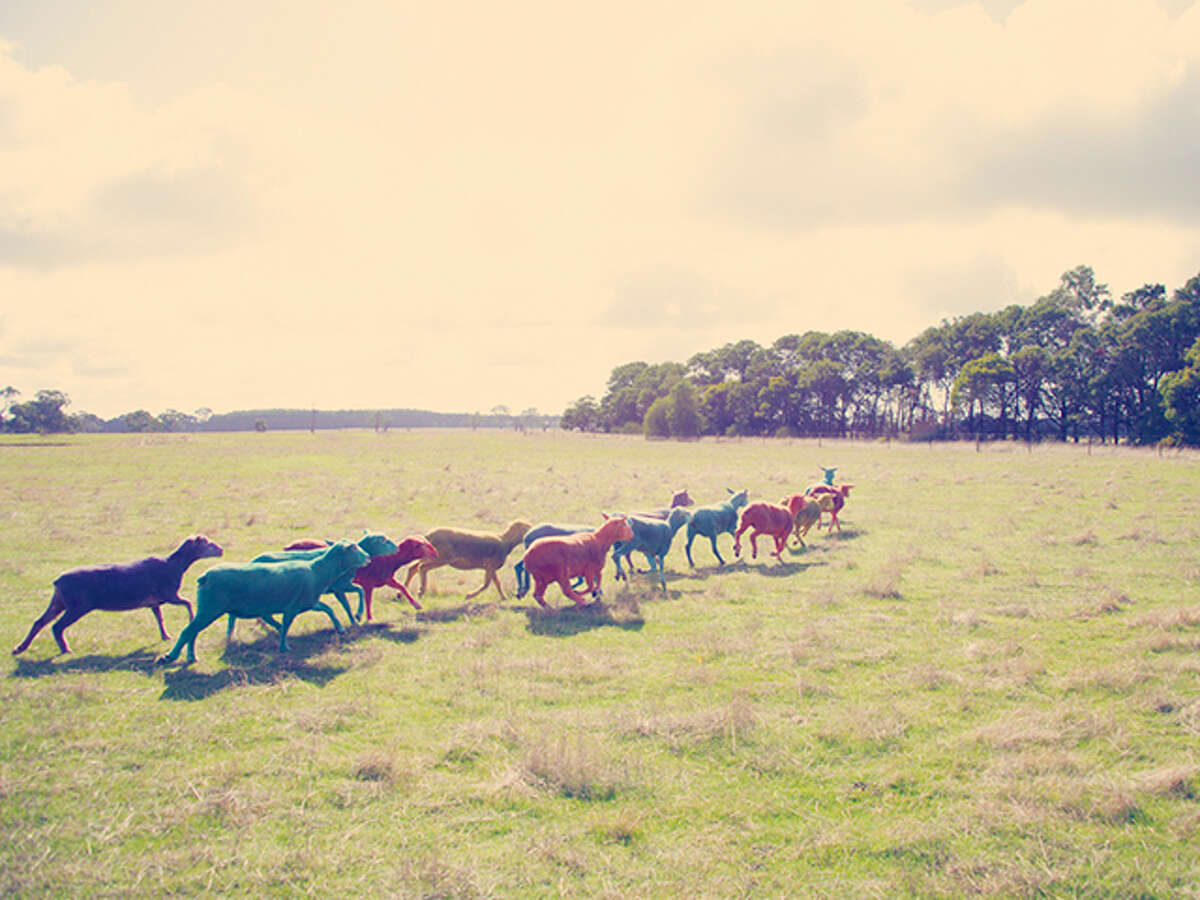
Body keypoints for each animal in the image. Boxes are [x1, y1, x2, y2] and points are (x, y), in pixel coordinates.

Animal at [13, 535, 224, 656]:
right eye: (207, 543)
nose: (221, 549)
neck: (176, 567)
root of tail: (56, 582)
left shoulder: (154, 601)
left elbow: (160, 618)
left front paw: (165, 636)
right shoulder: (168, 593)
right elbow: (187, 603)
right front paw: (190, 619)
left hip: (59, 602)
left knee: (39, 621)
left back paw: (19, 648)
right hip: (78, 604)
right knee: (56, 626)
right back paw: (65, 649)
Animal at [156, 540, 370, 664]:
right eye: (353, 549)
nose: (368, 557)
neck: (318, 570)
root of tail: (205, 576)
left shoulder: (307, 602)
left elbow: (327, 609)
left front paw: (341, 628)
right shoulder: (292, 607)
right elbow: (286, 624)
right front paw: (284, 647)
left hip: (208, 609)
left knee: (193, 631)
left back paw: (191, 656)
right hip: (210, 608)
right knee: (188, 631)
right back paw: (170, 656)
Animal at [404, 520, 532, 602]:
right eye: (527, 527)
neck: (505, 542)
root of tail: (428, 536)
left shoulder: (491, 567)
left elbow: (497, 583)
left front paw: (504, 597)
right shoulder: (491, 566)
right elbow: (486, 584)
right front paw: (469, 596)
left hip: (430, 556)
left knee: (413, 567)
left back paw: (403, 593)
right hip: (442, 557)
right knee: (422, 567)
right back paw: (420, 591)